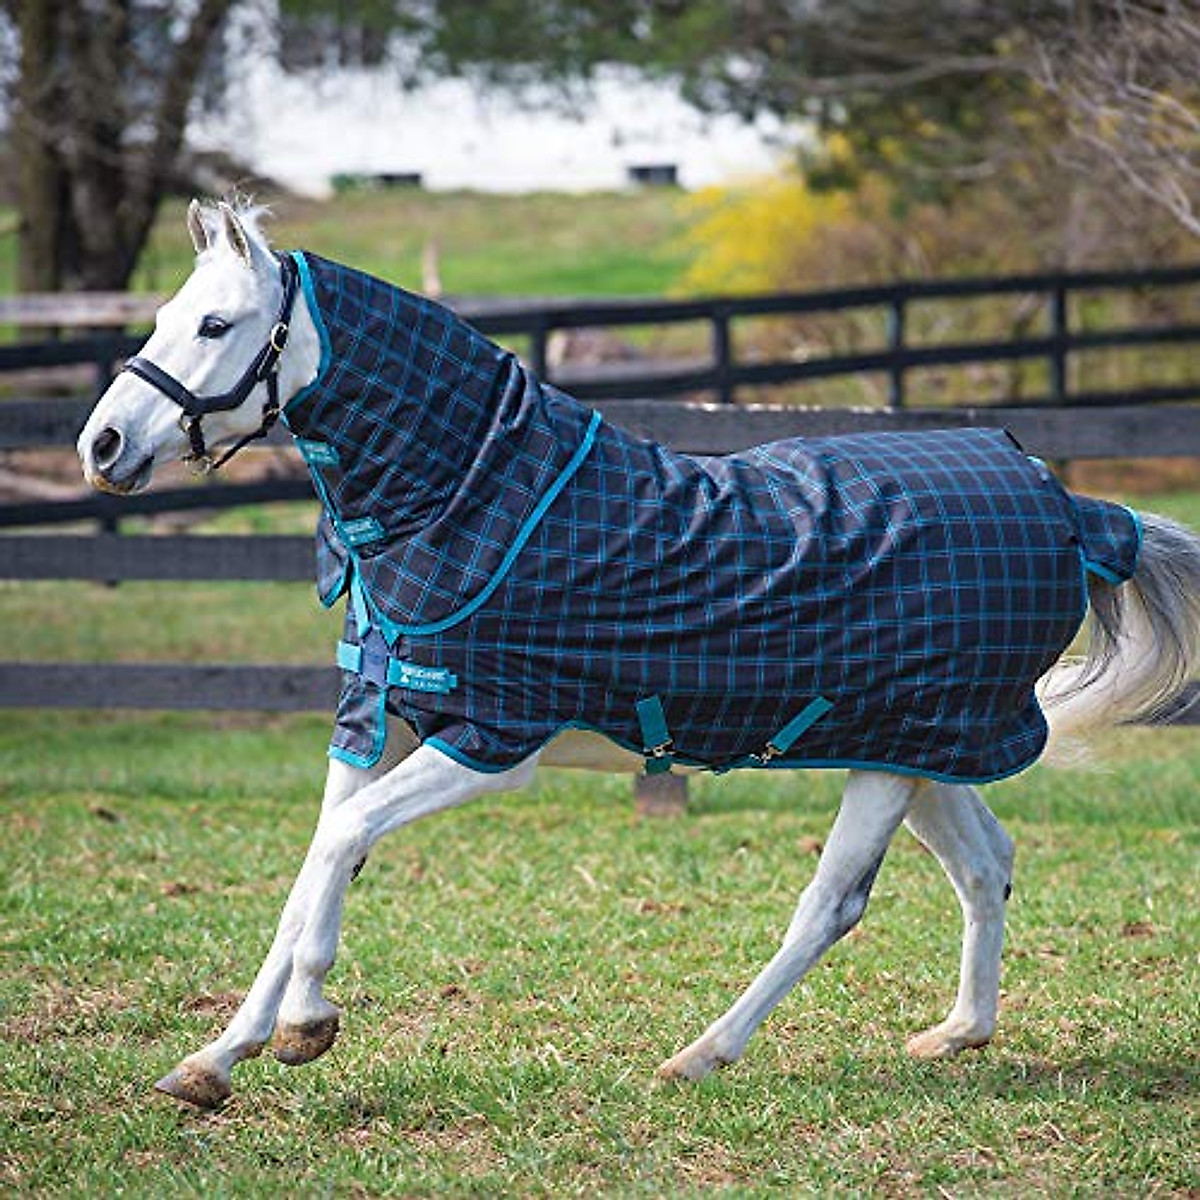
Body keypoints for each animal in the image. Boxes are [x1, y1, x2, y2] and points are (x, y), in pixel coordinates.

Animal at [78, 200, 1200, 1111]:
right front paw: (216, 1061)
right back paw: (954, 1035)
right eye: (169, 313)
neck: (472, 496)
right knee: (986, 866)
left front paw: (308, 1026)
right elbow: (316, 863)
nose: (102, 446)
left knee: (832, 906)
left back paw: (701, 1055)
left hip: (895, 755)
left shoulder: (494, 739)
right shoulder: (378, 721)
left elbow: (342, 844)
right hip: (922, 751)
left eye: (215, 325)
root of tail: (1068, 505)